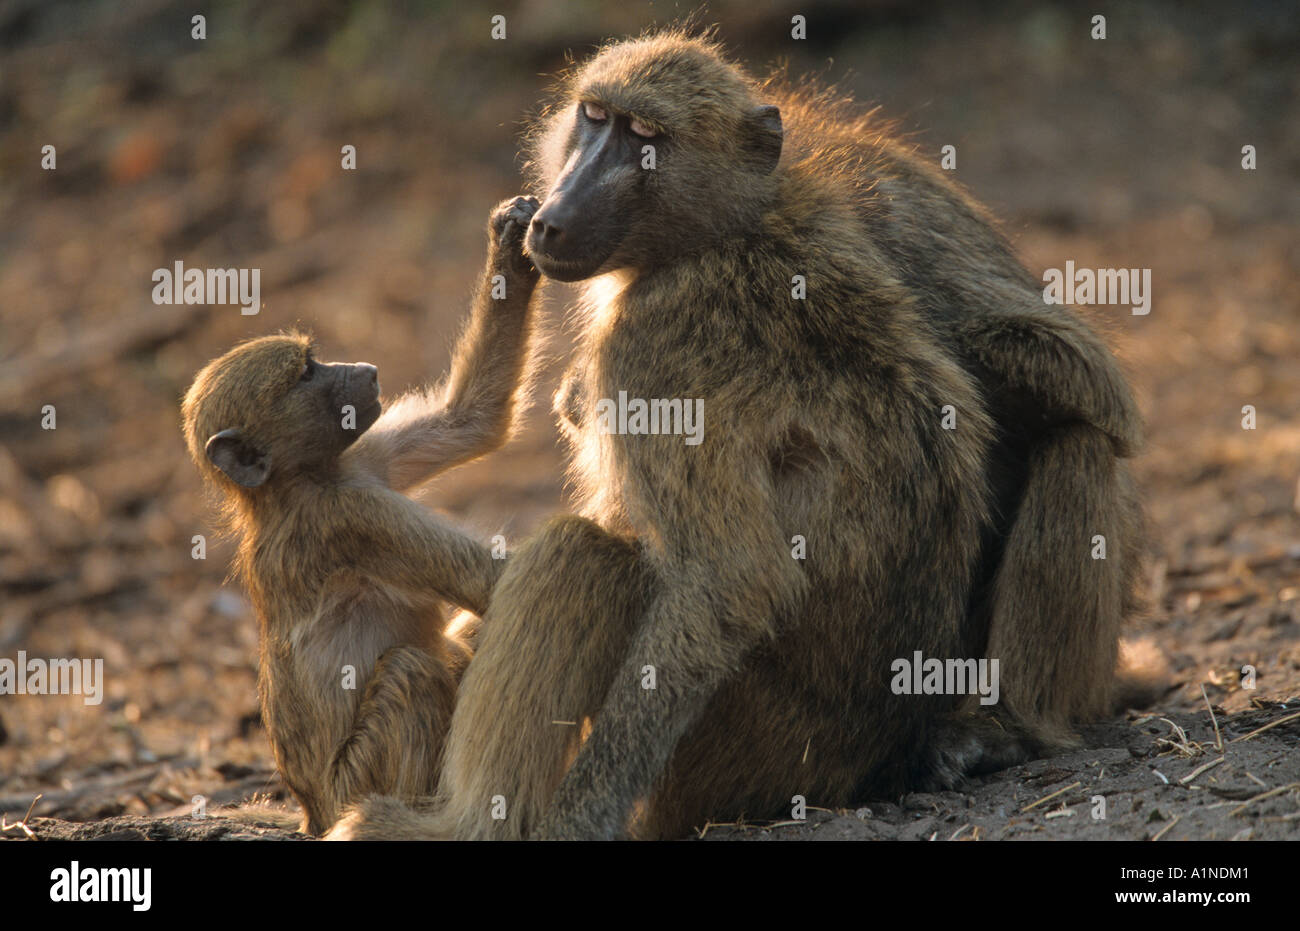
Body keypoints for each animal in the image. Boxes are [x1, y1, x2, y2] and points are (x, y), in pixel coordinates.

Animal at [181, 196, 541, 835]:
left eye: (316, 361)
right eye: (305, 373)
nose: (367, 371)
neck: (296, 481)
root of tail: (312, 812)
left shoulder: (364, 459)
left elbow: (474, 417)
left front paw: (511, 243)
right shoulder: (349, 516)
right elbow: (492, 581)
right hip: (359, 776)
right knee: (410, 674)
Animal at [329, 29, 1144, 841]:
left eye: (647, 138)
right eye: (595, 118)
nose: (551, 221)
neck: (730, 229)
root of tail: (880, 761)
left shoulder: (649, 348)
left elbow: (730, 580)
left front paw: (574, 817)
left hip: (740, 753)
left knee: (584, 558)